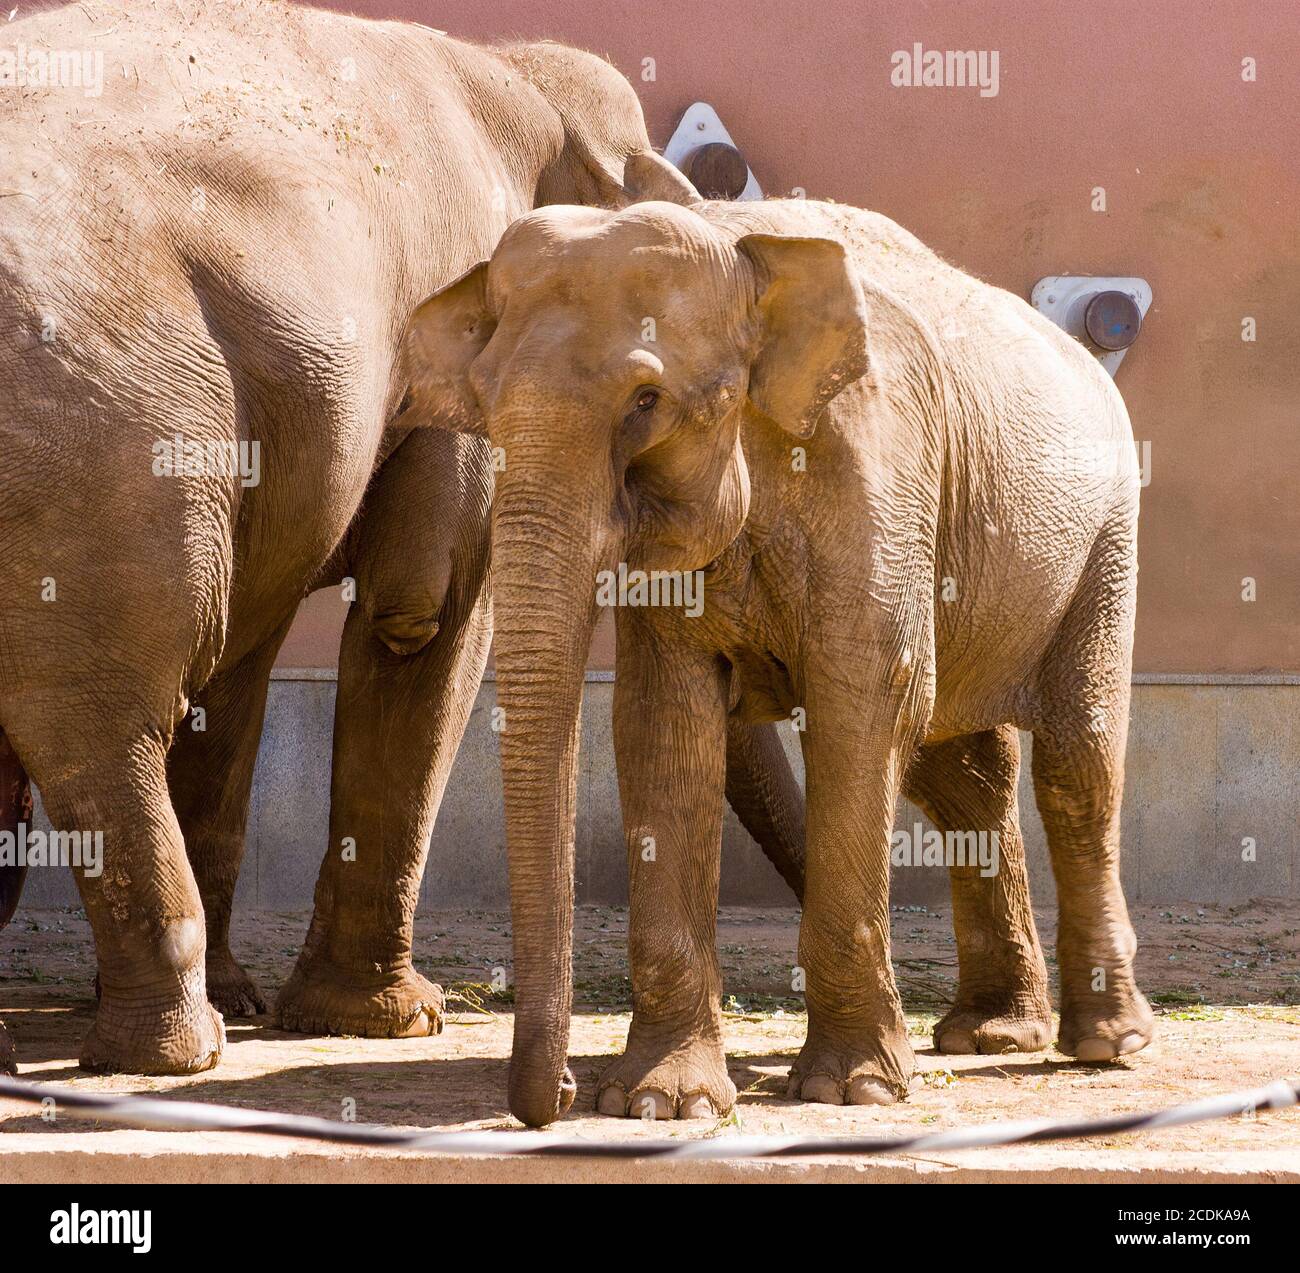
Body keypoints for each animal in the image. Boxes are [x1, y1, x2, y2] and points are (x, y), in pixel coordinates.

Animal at [0, 0, 704, 1076]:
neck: (523, 75)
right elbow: (425, 613)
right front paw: (393, 1019)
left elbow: (241, 667)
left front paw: (265, 999)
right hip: (101, 438)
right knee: (101, 718)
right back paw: (174, 1052)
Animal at [405, 196, 1155, 1125]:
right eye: (484, 402)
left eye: (647, 400)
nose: (562, 1090)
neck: (746, 253)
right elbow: (664, 721)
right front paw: (662, 1103)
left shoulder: (881, 473)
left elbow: (865, 704)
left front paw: (853, 1089)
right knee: (963, 772)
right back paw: (990, 1034)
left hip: (1106, 537)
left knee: (1076, 762)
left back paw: (1105, 1044)